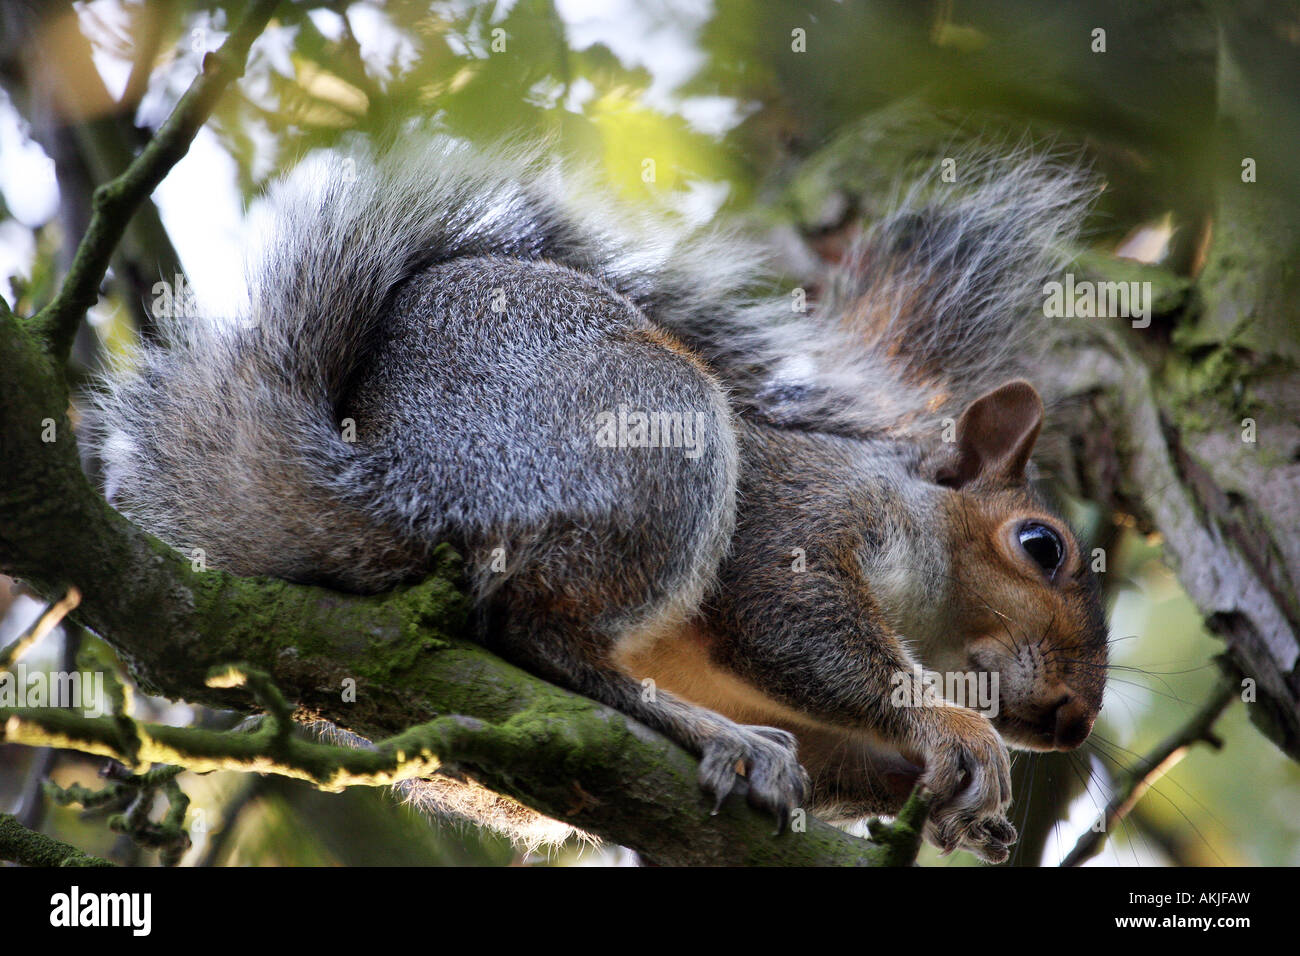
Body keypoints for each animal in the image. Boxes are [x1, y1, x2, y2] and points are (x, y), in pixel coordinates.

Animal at [87, 134, 1108, 863]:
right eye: (1042, 545)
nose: (1073, 721)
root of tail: (391, 485)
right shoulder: (797, 520)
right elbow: (800, 626)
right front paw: (951, 727)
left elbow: (835, 754)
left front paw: (947, 807)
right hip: (656, 445)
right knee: (545, 635)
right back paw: (712, 732)